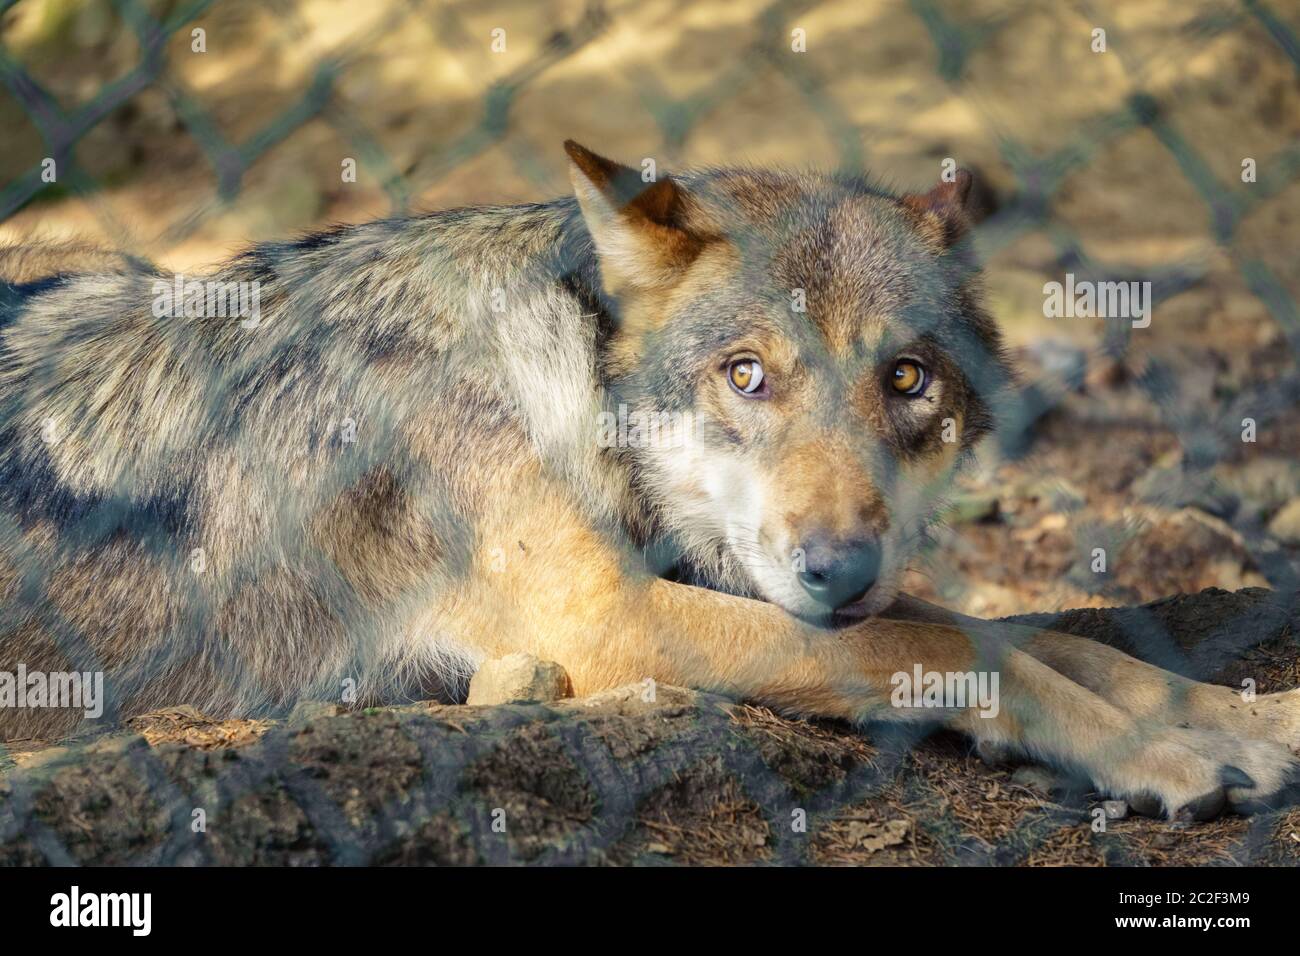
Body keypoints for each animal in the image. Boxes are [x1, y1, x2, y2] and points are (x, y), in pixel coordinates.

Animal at [1, 142, 1297, 820]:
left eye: (908, 379)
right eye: (746, 375)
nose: (839, 567)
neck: (556, 372)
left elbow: (1030, 632)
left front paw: (1235, 717)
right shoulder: (609, 608)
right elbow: (940, 644)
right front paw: (1162, 755)